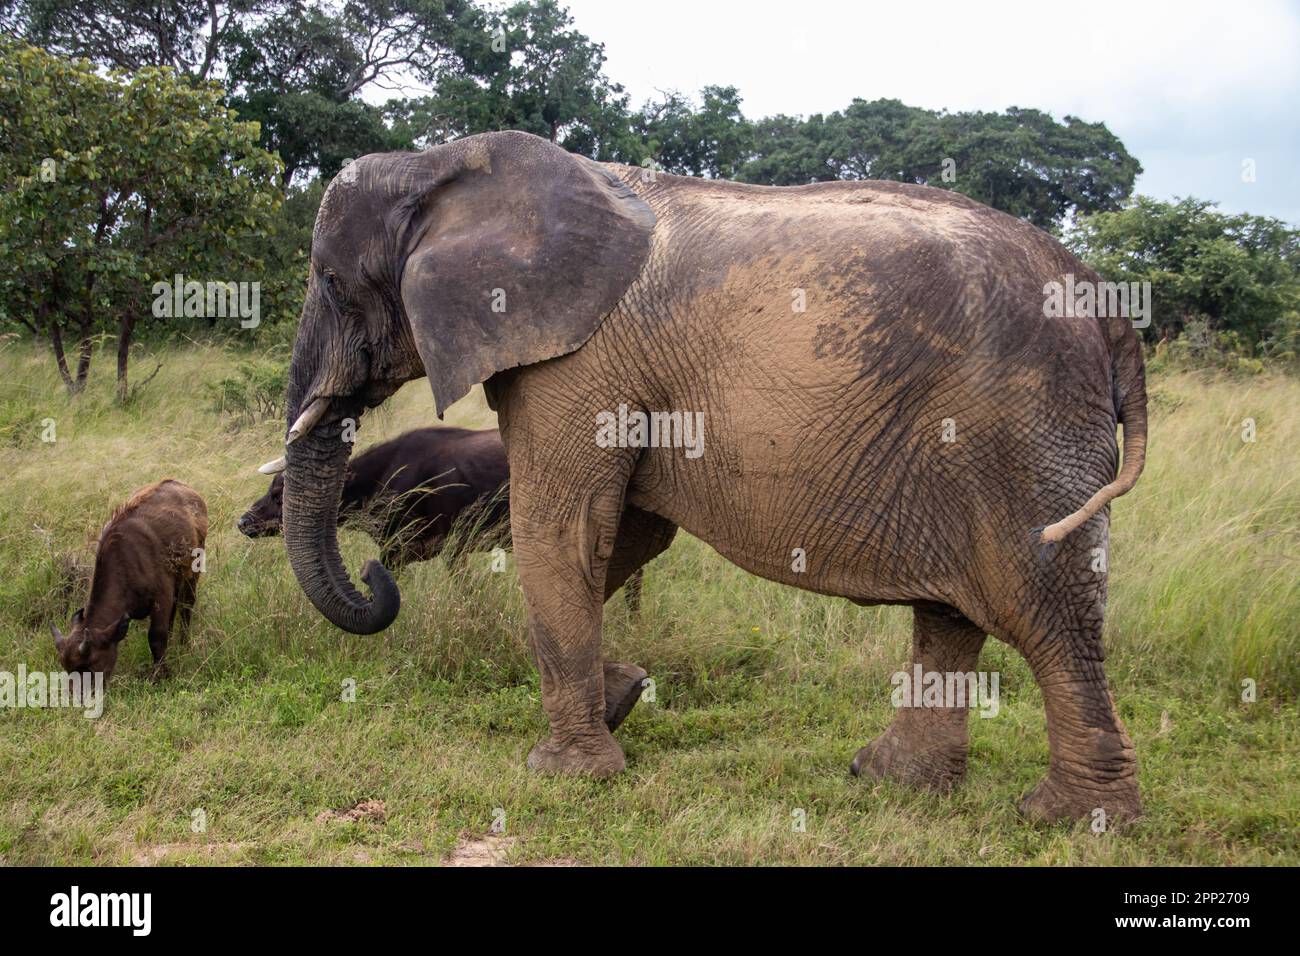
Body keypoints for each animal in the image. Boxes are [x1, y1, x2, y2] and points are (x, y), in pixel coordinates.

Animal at [272, 130, 1148, 823]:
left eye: (329, 282)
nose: (378, 573)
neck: (444, 164)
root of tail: (1110, 311)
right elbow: (625, 534)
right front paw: (622, 695)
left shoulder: (578, 359)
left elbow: (559, 529)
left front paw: (566, 773)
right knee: (953, 614)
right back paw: (892, 781)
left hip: (1025, 432)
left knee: (1050, 613)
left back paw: (1070, 819)